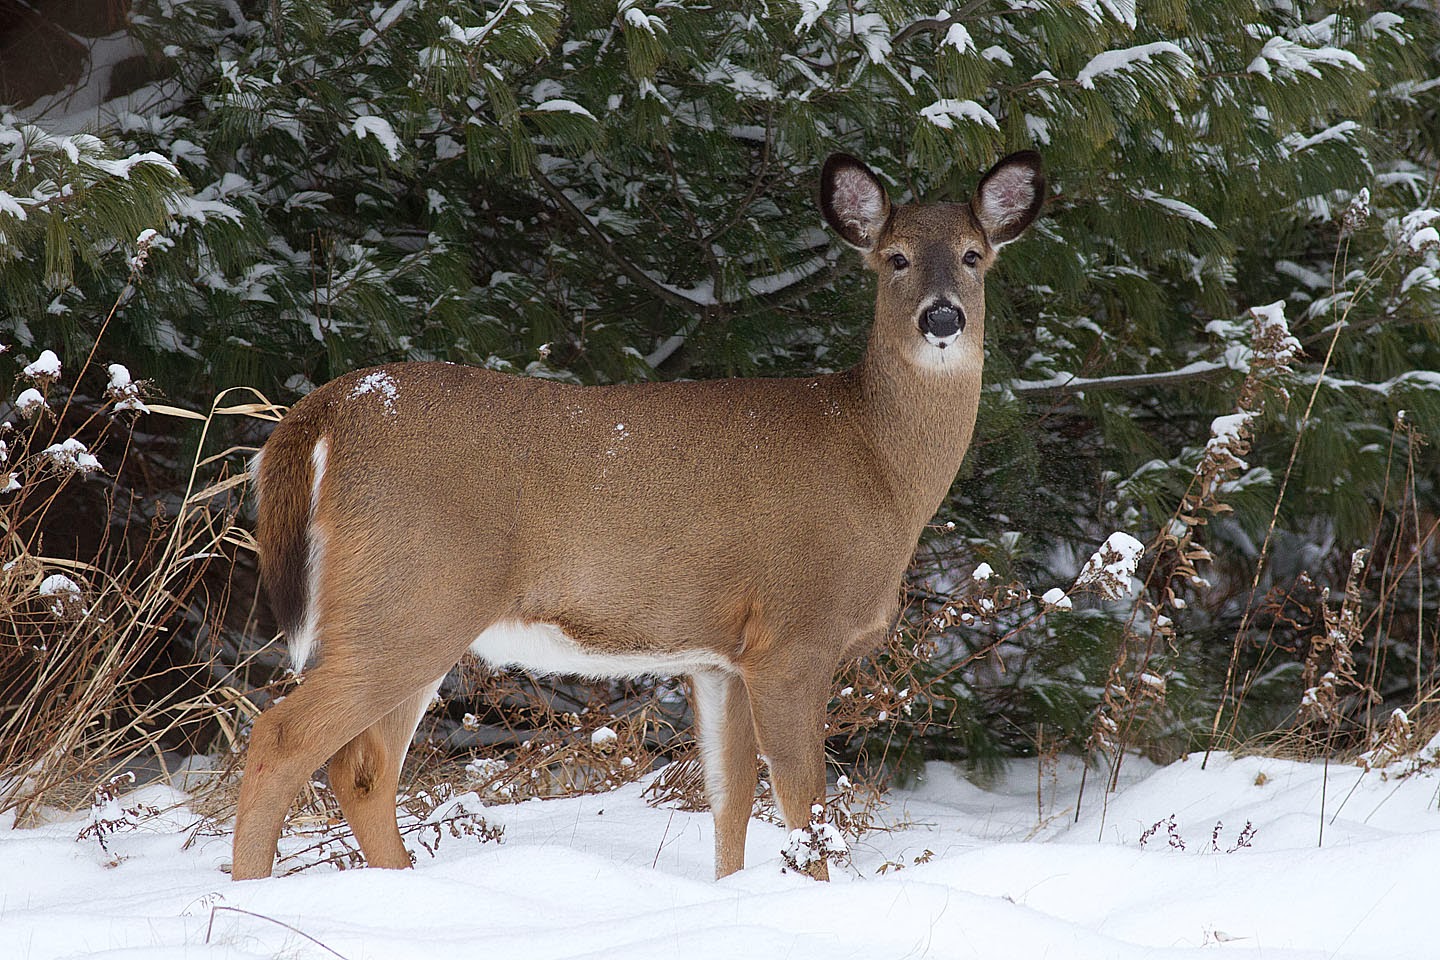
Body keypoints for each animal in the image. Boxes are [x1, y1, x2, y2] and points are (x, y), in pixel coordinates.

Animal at [233, 150, 1045, 882]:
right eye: (895, 258)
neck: (874, 463)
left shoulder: (722, 656)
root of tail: (327, 409)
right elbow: (804, 806)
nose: (943, 316)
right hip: (409, 597)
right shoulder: (794, 636)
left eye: (973, 256)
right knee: (281, 738)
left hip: (409, 611)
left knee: (362, 769)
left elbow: (729, 799)